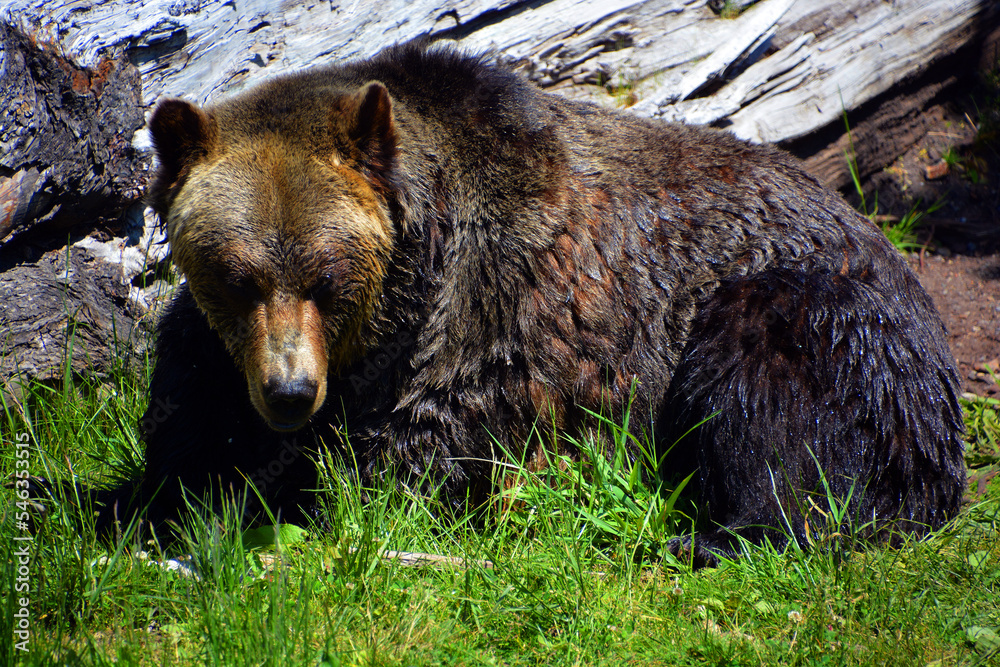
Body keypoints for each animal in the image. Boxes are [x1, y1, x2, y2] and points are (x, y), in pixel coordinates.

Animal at [94, 42, 965, 564]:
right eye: (236, 276)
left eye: (328, 279)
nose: (288, 391)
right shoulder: (225, 353)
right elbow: (188, 425)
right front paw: (138, 498)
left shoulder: (492, 330)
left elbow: (404, 464)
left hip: (824, 323)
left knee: (773, 406)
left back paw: (708, 533)